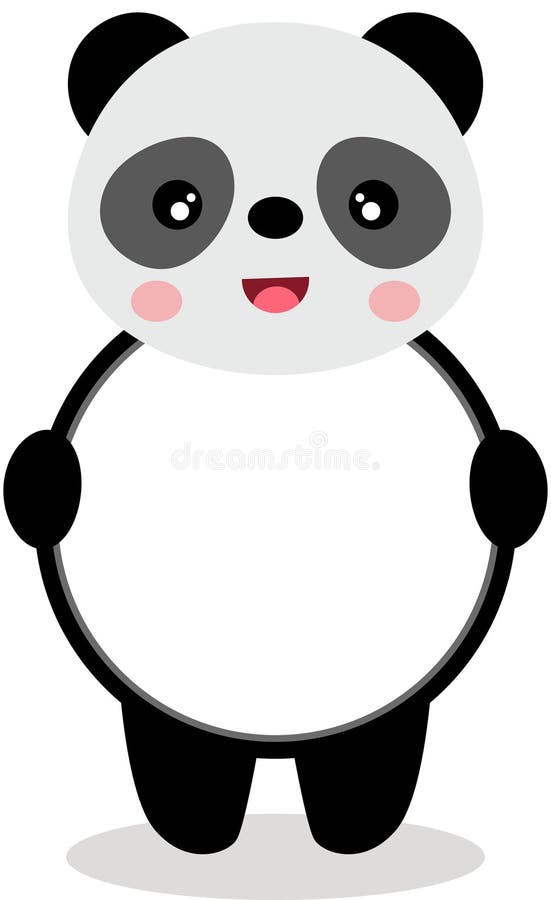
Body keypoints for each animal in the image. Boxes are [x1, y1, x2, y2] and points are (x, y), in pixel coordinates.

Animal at [4, 12, 547, 855]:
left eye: (372, 203)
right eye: (177, 203)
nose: (274, 215)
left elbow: (510, 484)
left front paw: (505, 477)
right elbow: (39, 485)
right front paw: (44, 477)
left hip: (380, 720)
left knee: (367, 751)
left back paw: (355, 835)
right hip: (169, 720)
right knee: (182, 751)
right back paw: (194, 835)